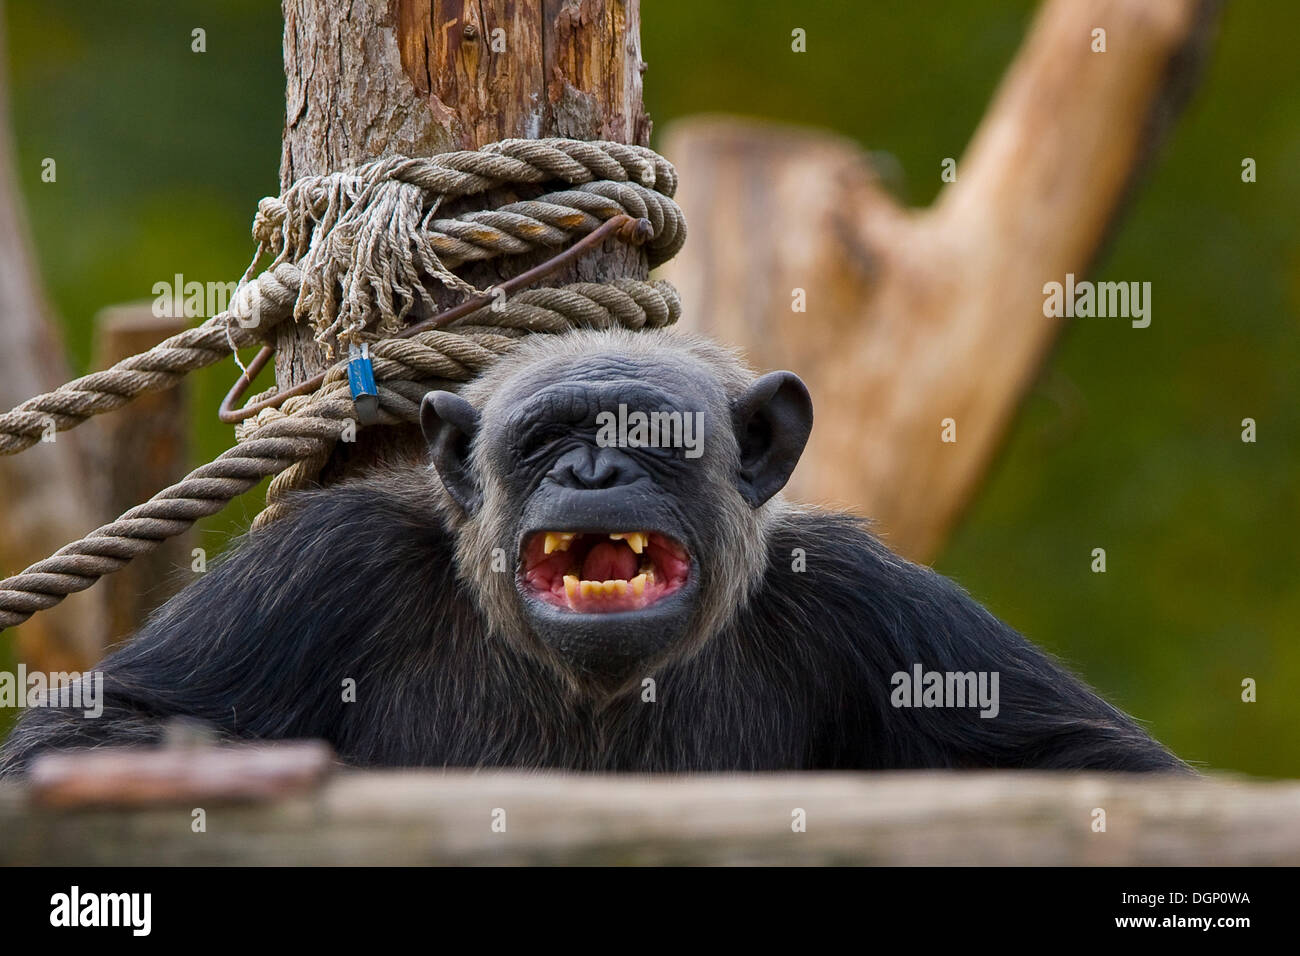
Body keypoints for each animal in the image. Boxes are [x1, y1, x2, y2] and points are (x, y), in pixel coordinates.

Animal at [0, 328, 1187, 774]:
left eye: (645, 436)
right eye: (548, 437)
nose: (595, 472)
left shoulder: (875, 603)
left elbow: (1090, 767)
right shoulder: (324, 568)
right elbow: (105, 727)